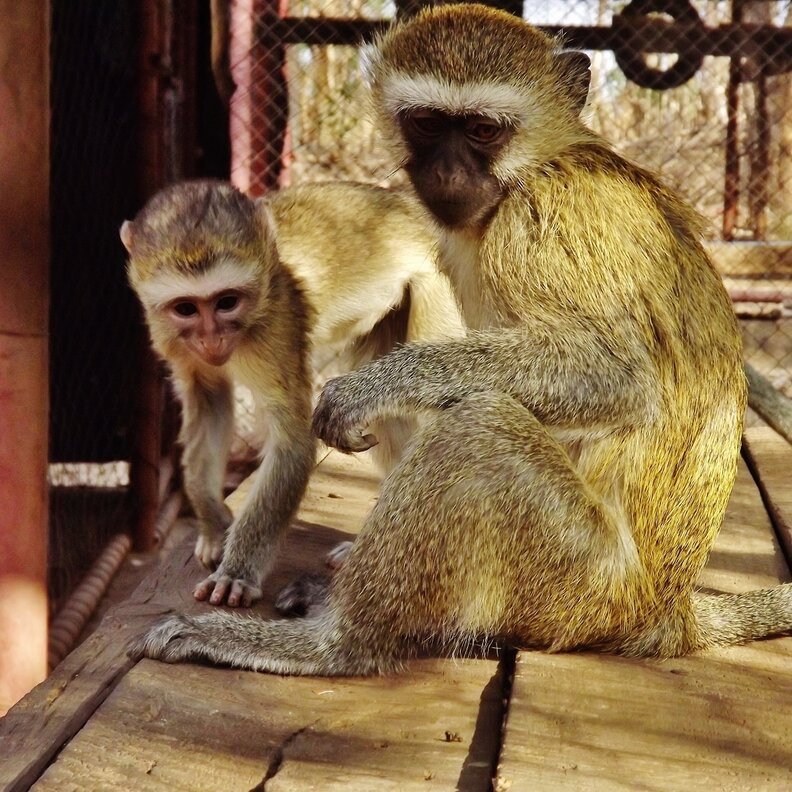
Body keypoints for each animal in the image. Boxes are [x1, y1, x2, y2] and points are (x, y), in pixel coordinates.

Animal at [122, 178, 462, 608]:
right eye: (186, 308)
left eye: (227, 302)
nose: (212, 340)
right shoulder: (173, 338)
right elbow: (208, 400)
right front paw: (213, 523)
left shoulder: (276, 324)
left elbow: (294, 442)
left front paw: (237, 572)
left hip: (440, 284)